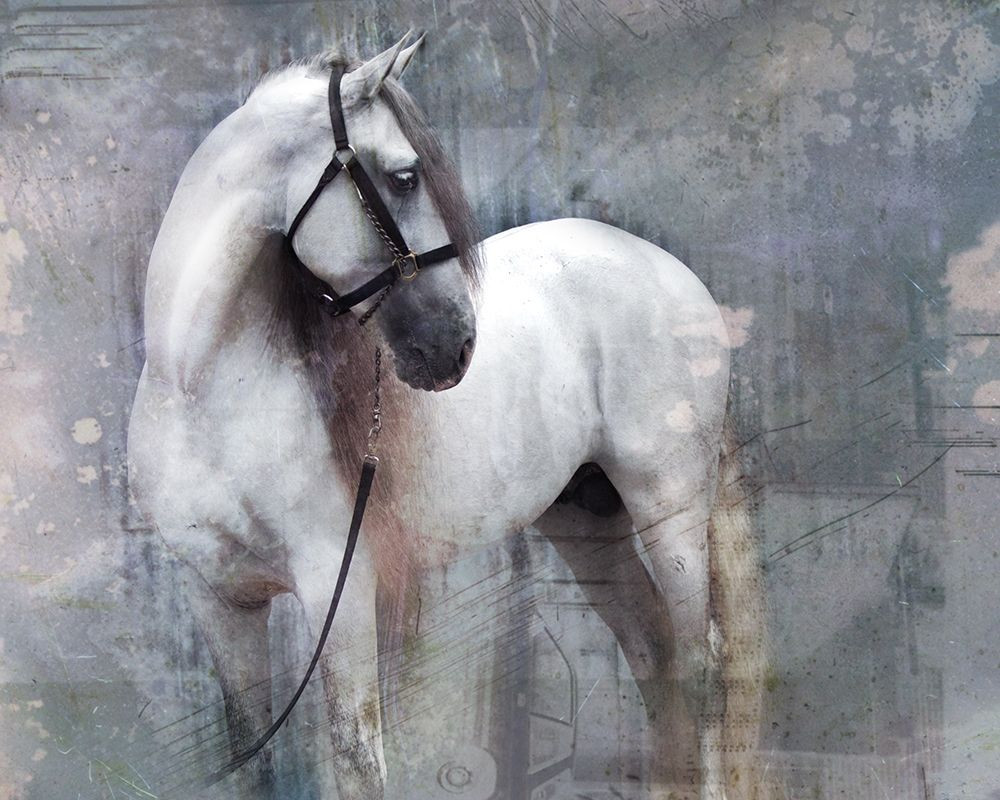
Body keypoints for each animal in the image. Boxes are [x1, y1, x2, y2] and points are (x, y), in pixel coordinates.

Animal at [127, 32, 766, 800]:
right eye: (405, 177)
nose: (453, 345)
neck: (198, 395)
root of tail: (672, 272)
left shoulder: (338, 593)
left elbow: (357, 757)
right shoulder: (218, 601)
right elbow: (252, 756)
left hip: (668, 505)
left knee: (701, 664)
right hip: (585, 516)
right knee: (652, 652)